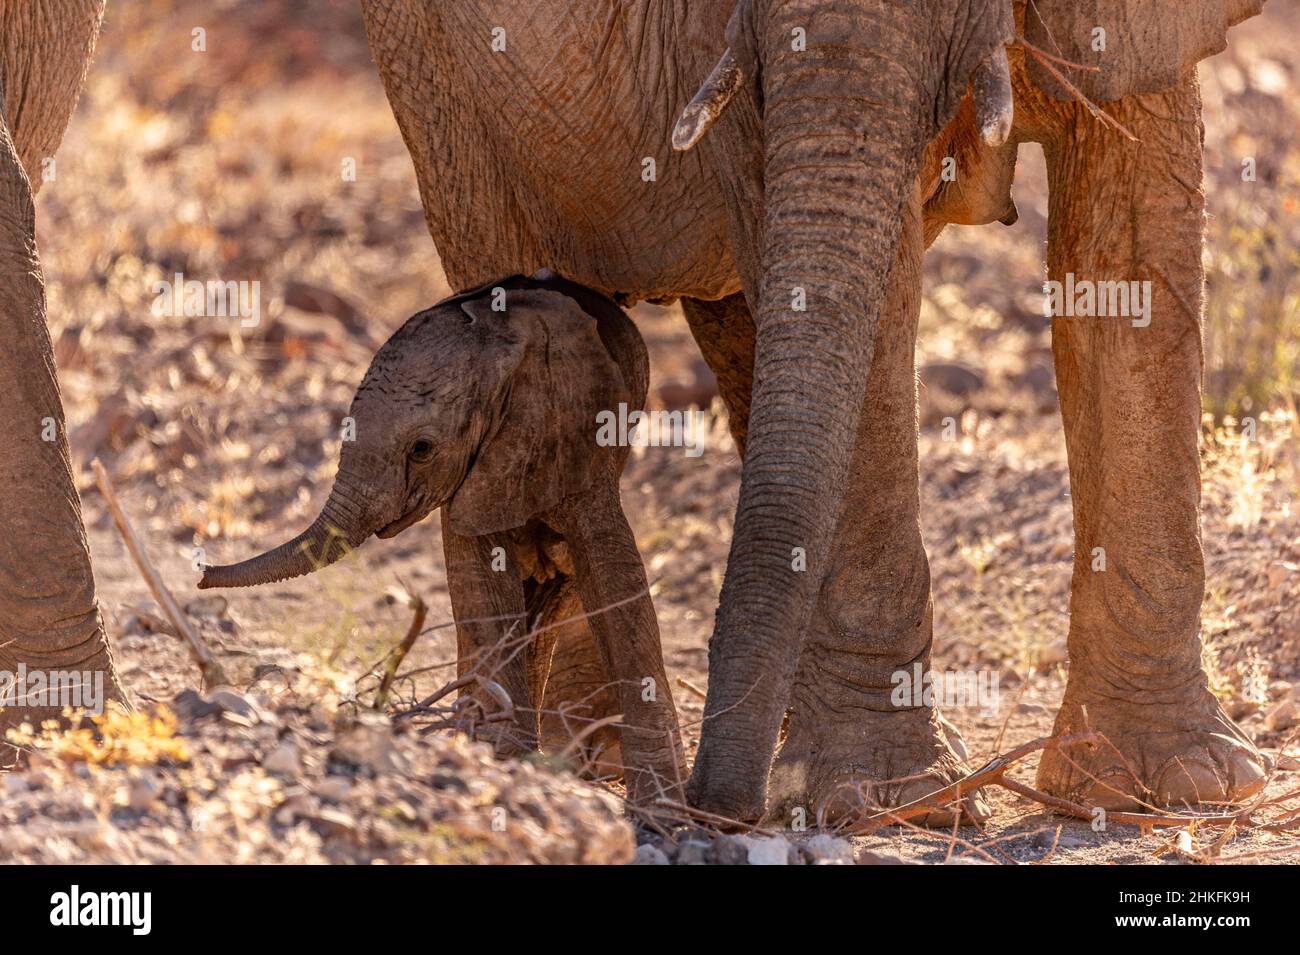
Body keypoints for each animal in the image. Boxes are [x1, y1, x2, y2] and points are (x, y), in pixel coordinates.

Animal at [198, 273, 687, 804]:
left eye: (422, 449)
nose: (201, 572)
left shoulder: (582, 441)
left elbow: (615, 581)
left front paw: (662, 806)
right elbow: (480, 583)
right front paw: (501, 757)